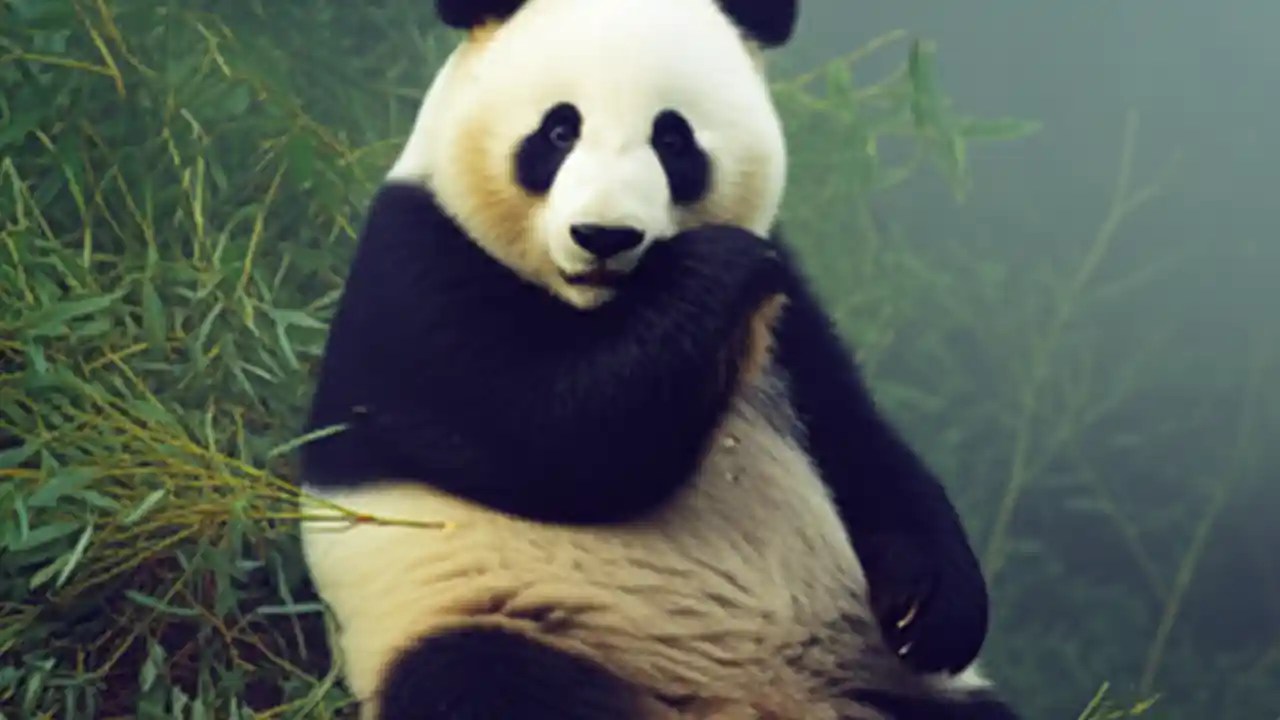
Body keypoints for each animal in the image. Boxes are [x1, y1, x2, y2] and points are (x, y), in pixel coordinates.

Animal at [296, 0, 1021, 718]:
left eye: (673, 140)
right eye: (558, 130)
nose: (604, 236)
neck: (612, 307)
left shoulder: (788, 325)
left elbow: (855, 435)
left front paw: (933, 612)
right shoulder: (414, 275)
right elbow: (557, 441)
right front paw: (714, 266)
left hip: (875, 679)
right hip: (504, 614)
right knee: (480, 680)